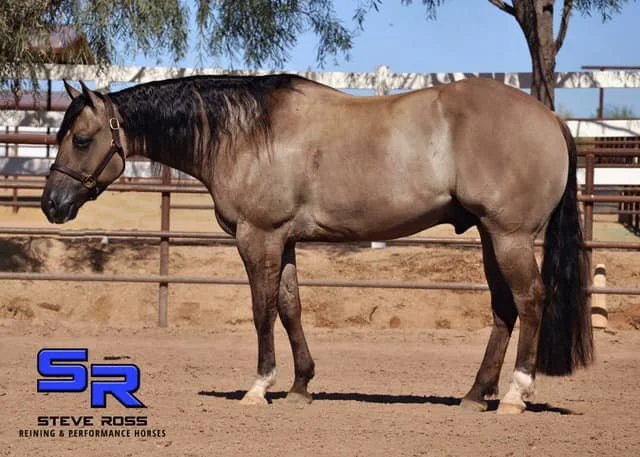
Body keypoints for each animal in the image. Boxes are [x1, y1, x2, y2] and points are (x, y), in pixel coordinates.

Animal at [41, 75, 593, 414]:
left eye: (82, 139)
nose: (51, 204)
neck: (248, 132)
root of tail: (551, 118)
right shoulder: (282, 241)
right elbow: (290, 307)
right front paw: (301, 385)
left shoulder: (258, 237)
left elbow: (262, 309)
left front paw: (260, 386)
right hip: (488, 235)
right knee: (504, 308)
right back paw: (477, 393)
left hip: (509, 236)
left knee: (530, 301)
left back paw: (516, 395)